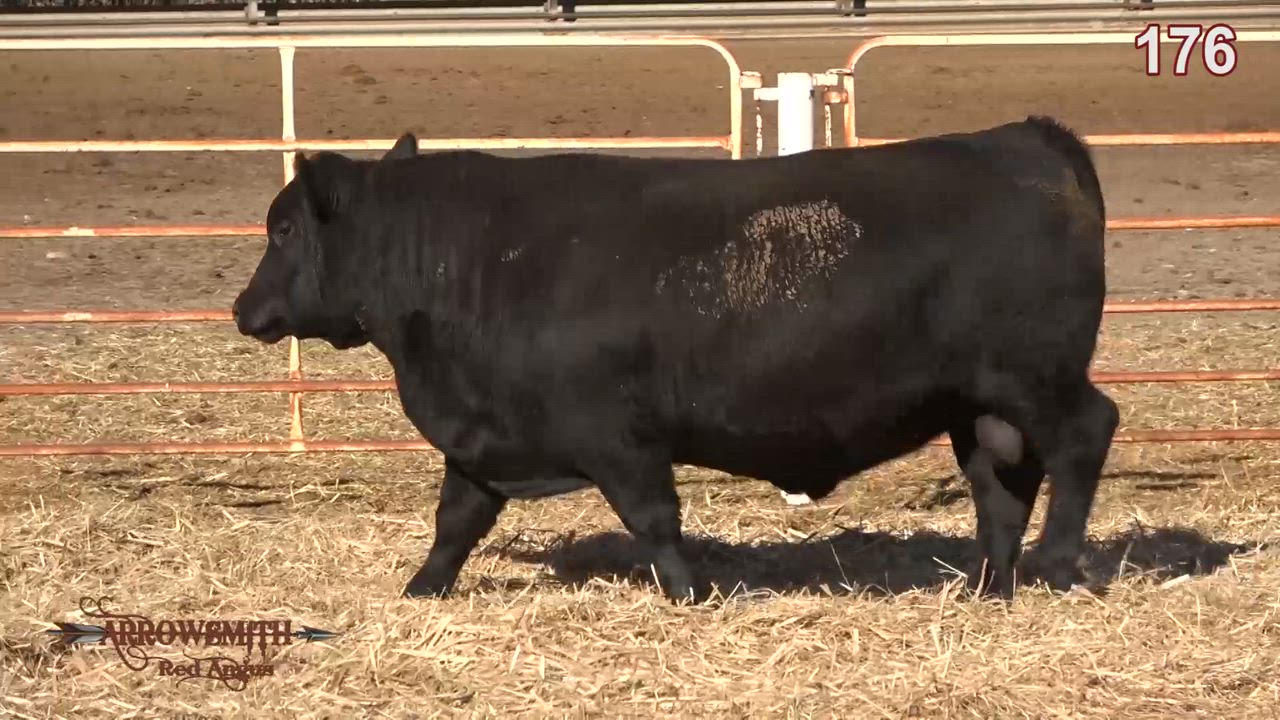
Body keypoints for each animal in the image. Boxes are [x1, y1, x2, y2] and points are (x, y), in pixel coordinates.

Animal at [232, 116, 1119, 604]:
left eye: (284, 229)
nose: (244, 309)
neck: (475, 262)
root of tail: (1028, 140)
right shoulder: (483, 436)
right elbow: (456, 522)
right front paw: (421, 590)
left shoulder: (617, 436)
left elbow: (655, 519)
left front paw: (692, 593)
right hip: (981, 405)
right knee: (999, 486)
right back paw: (988, 588)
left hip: (1035, 379)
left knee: (1087, 433)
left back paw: (1056, 562)